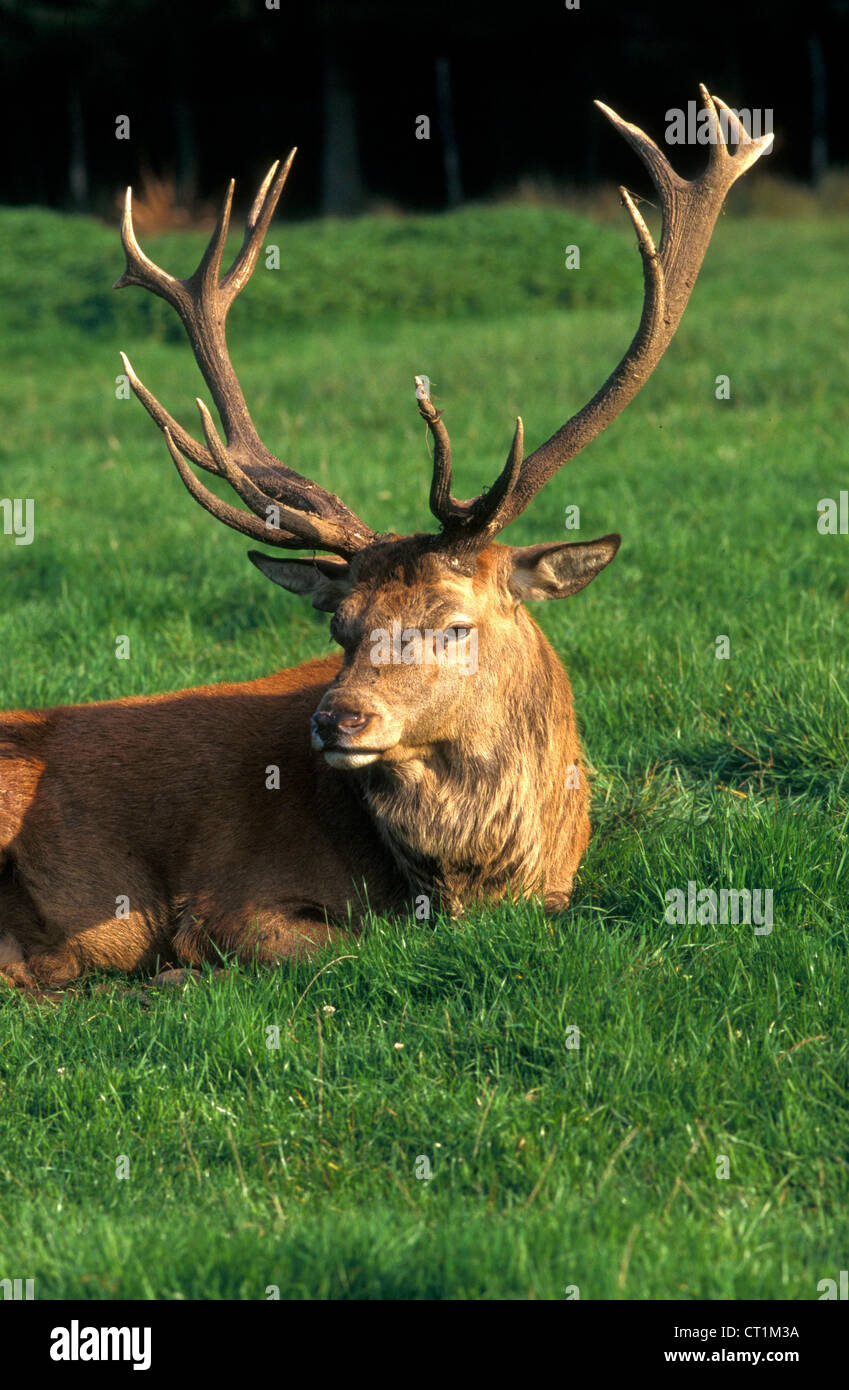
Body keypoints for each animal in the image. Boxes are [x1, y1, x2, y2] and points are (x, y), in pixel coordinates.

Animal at [0, 89, 772, 992]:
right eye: (341, 628)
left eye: (454, 624)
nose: (337, 720)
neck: (481, 881)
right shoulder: (226, 899)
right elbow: (346, 942)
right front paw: (177, 976)